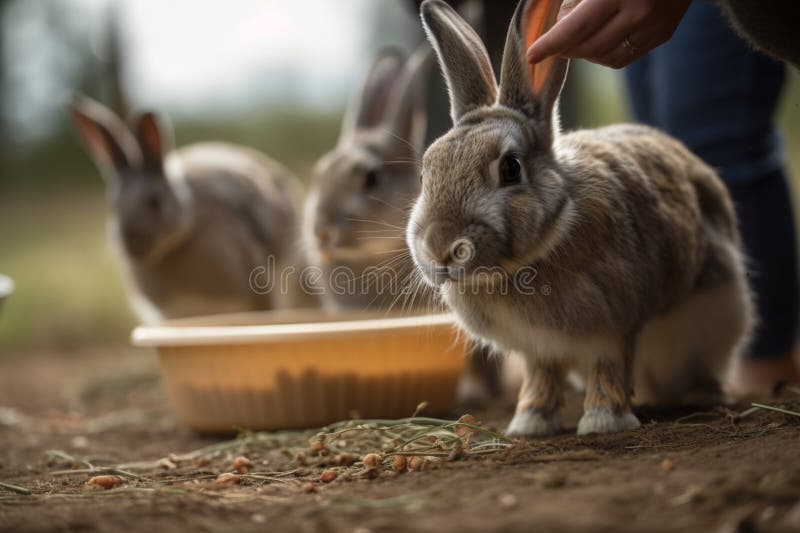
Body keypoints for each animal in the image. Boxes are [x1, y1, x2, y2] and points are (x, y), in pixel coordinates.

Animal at [408, 0, 754, 436]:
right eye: (425, 173)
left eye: (510, 168)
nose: (440, 248)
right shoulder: (539, 349)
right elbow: (540, 378)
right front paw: (530, 424)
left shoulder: (613, 327)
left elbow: (608, 369)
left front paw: (604, 422)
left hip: (717, 315)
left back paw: (701, 395)